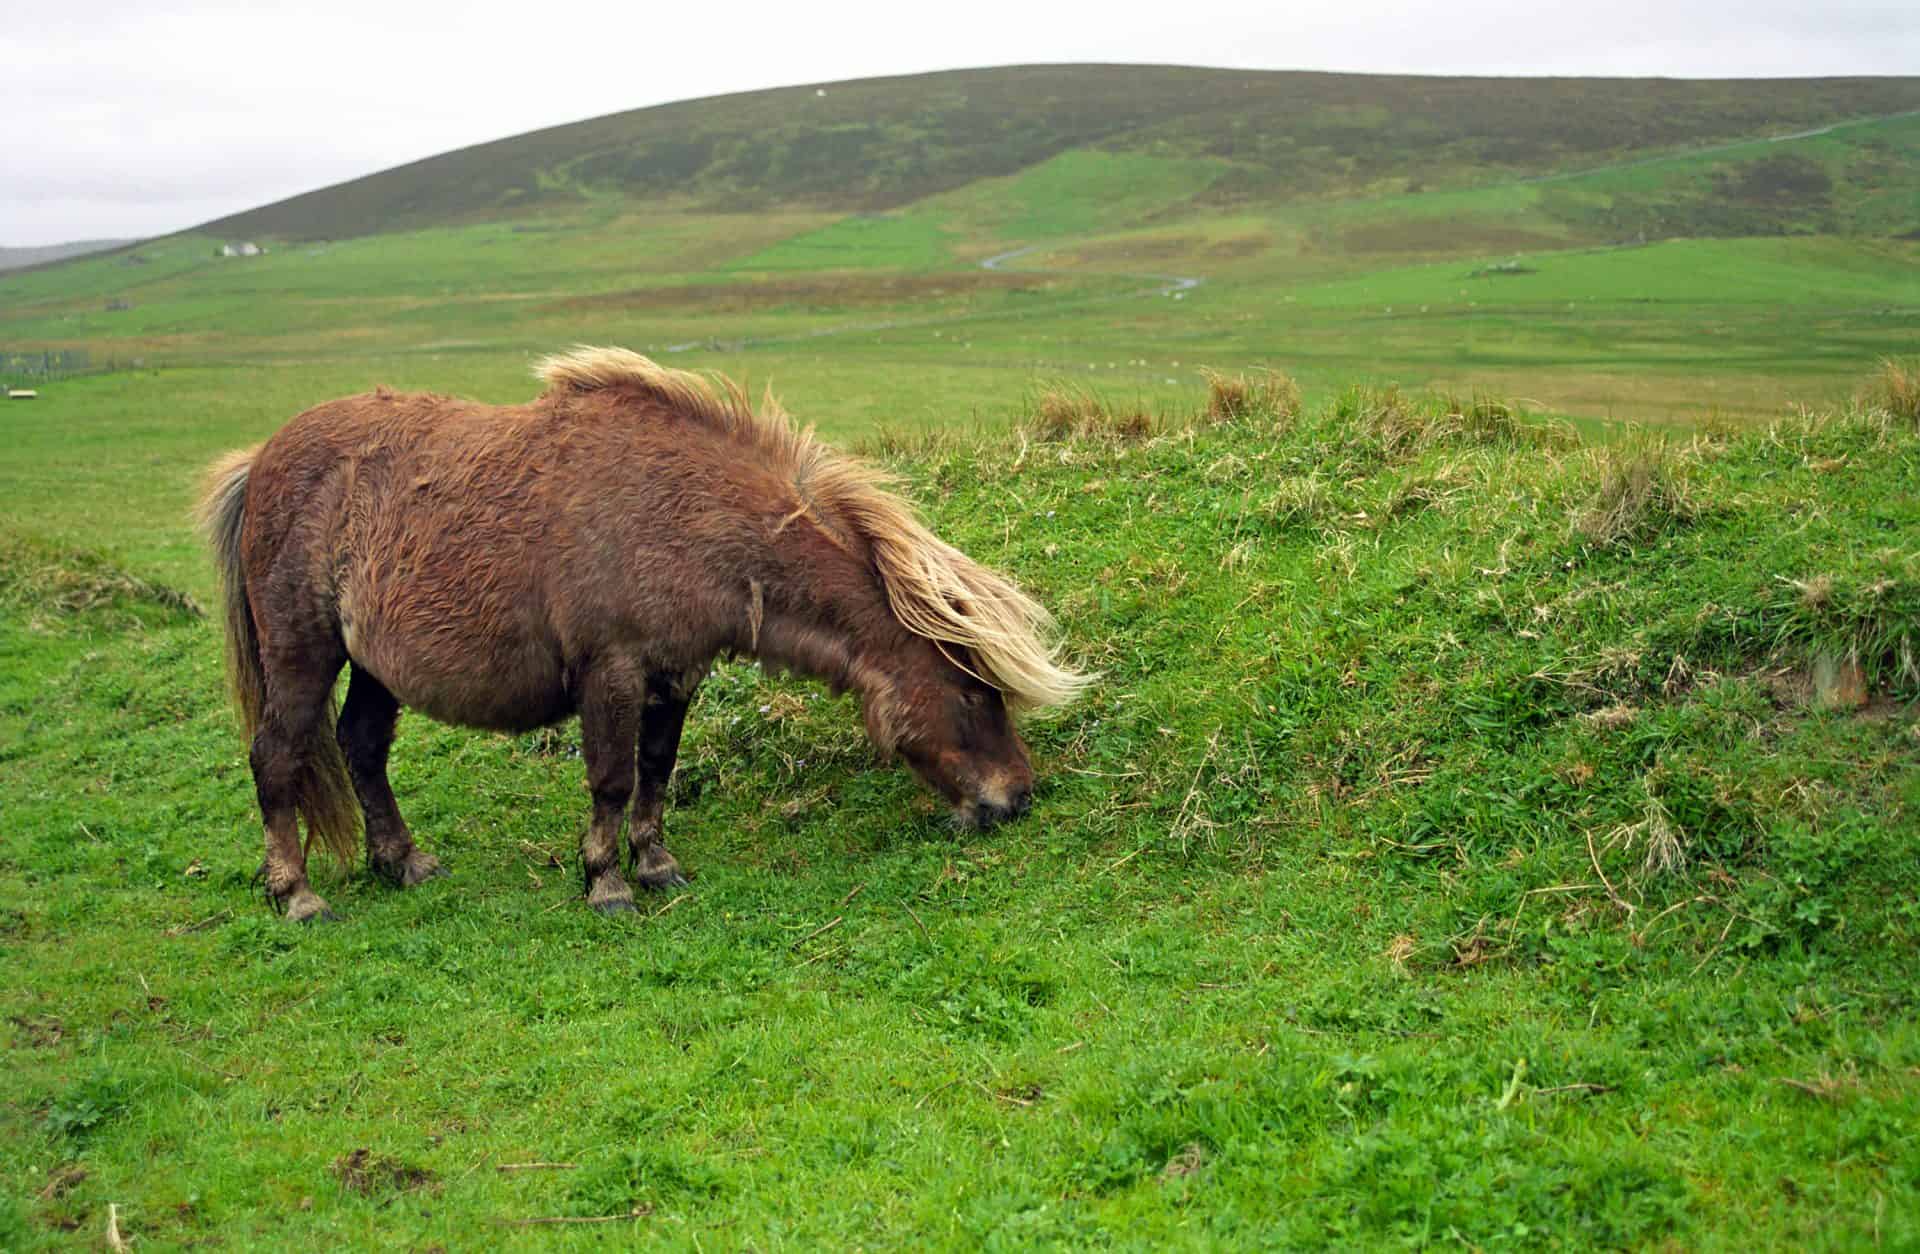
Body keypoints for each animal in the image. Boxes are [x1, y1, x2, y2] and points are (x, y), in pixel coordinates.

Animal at [196, 347, 1089, 921]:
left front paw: (656, 865)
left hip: (375, 666)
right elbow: (611, 778)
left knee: (362, 748)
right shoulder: (613, 670)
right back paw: (297, 895)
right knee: (277, 755)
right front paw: (606, 884)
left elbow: (656, 771)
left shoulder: (675, 672)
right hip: (303, 652)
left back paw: (403, 862)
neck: (683, 514)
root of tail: (262, 458)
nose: (1016, 798)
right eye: (974, 693)